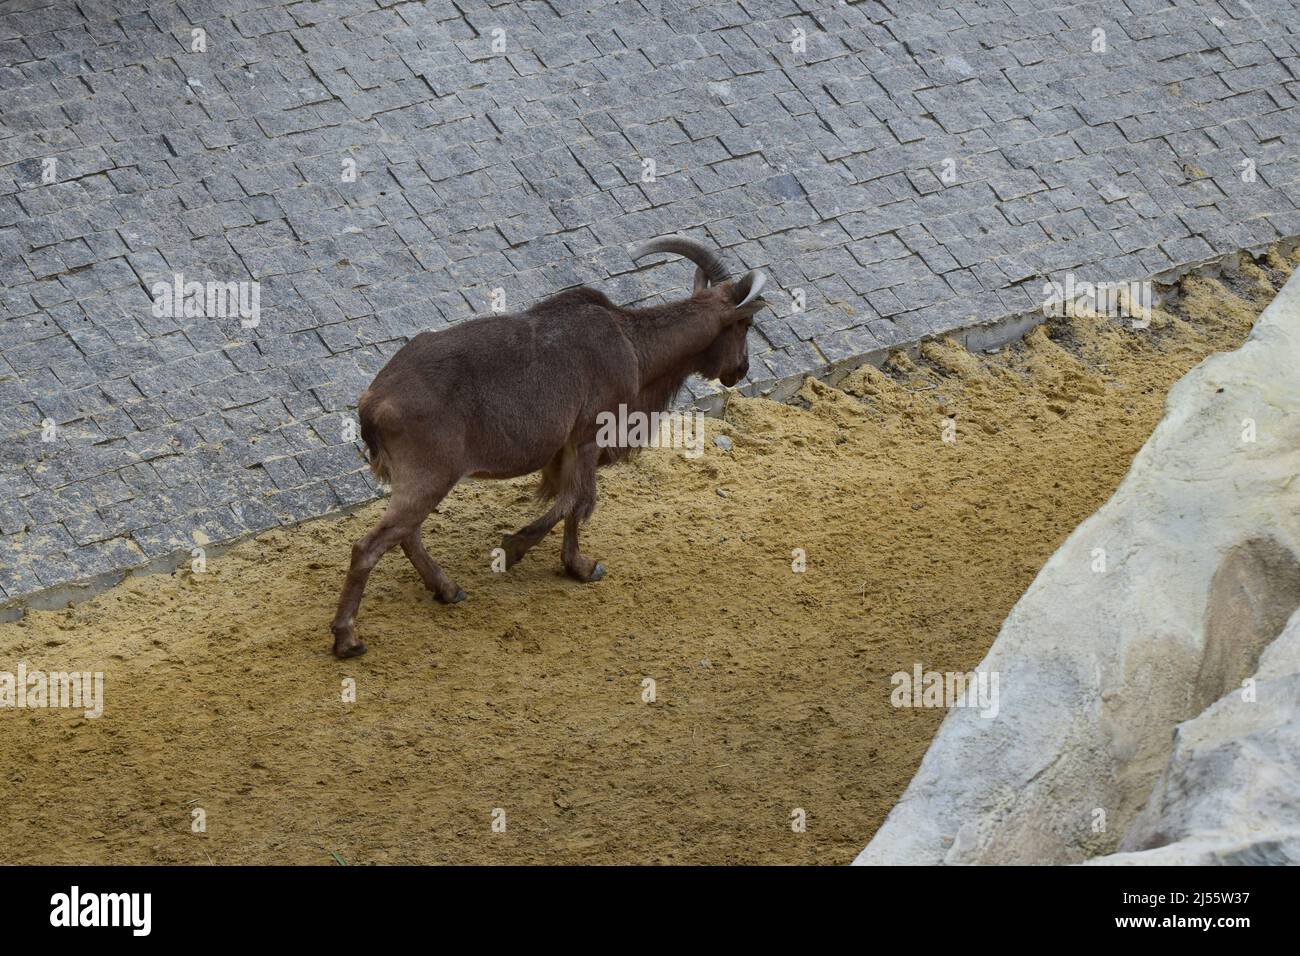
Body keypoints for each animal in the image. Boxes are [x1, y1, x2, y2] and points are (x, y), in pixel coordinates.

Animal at [330, 239, 764, 658]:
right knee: (370, 546)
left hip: (419, 480)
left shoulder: (571, 448)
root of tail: (372, 404)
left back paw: (448, 590)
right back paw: (347, 639)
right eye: (746, 324)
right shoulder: (590, 436)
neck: (631, 345)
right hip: (430, 475)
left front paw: (560, 560)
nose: (740, 370)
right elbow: (579, 499)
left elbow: (572, 500)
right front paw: (550, 558)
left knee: (407, 534)